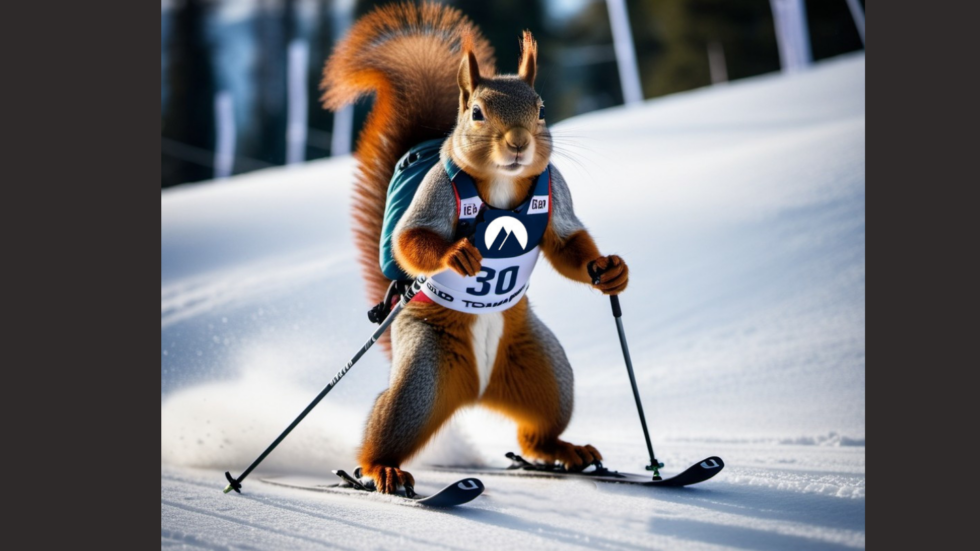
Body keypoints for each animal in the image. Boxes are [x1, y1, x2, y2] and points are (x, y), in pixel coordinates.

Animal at [321, 1, 628, 494]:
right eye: (478, 113)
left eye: (541, 109)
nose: (519, 143)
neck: (502, 180)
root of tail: (474, 392)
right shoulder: (434, 194)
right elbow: (410, 240)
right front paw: (456, 255)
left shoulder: (558, 191)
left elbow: (567, 244)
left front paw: (611, 269)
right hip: (421, 378)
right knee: (388, 426)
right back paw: (381, 469)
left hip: (546, 372)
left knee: (536, 432)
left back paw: (565, 452)